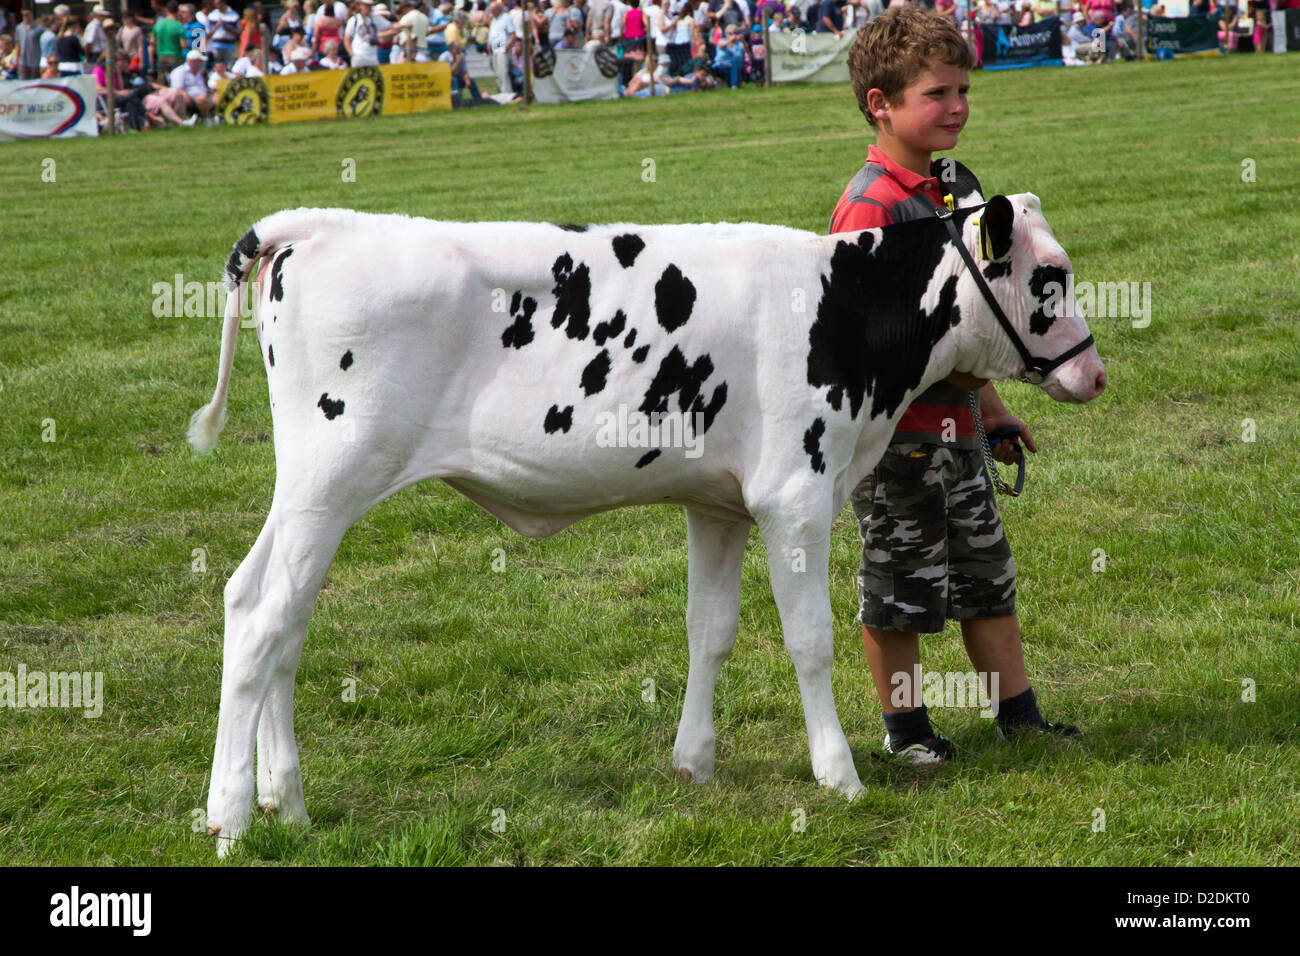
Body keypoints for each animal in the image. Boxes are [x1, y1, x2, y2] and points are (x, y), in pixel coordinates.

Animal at [190, 193, 1106, 855]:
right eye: (1051, 274)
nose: (1094, 373)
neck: (839, 306)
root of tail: (322, 225)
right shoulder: (797, 495)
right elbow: (810, 639)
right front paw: (838, 774)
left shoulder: (720, 503)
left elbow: (712, 629)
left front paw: (693, 761)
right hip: (331, 480)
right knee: (267, 619)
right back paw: (230, 817)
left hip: (308, 491)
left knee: (264, 610)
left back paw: (286, 802)